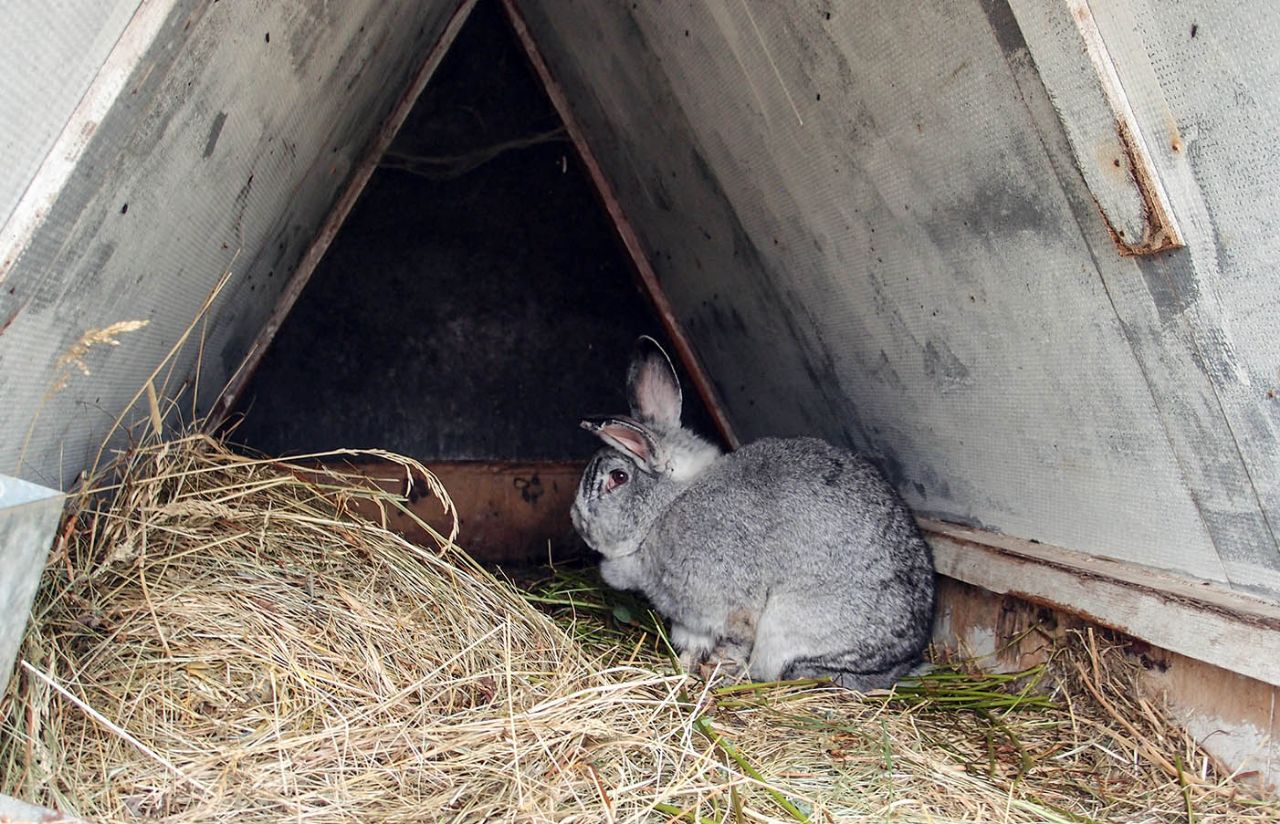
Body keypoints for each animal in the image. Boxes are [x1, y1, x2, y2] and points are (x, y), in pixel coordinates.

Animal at [576, 335, 936, 690]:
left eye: (618, 478)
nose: (577, 520)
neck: (668, 507)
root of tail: (902, 660)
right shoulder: (690, 625)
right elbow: (691, 648)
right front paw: (682, 669)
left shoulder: (733, 603)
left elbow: (735, 641)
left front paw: (716, 673)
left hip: (790, 626)